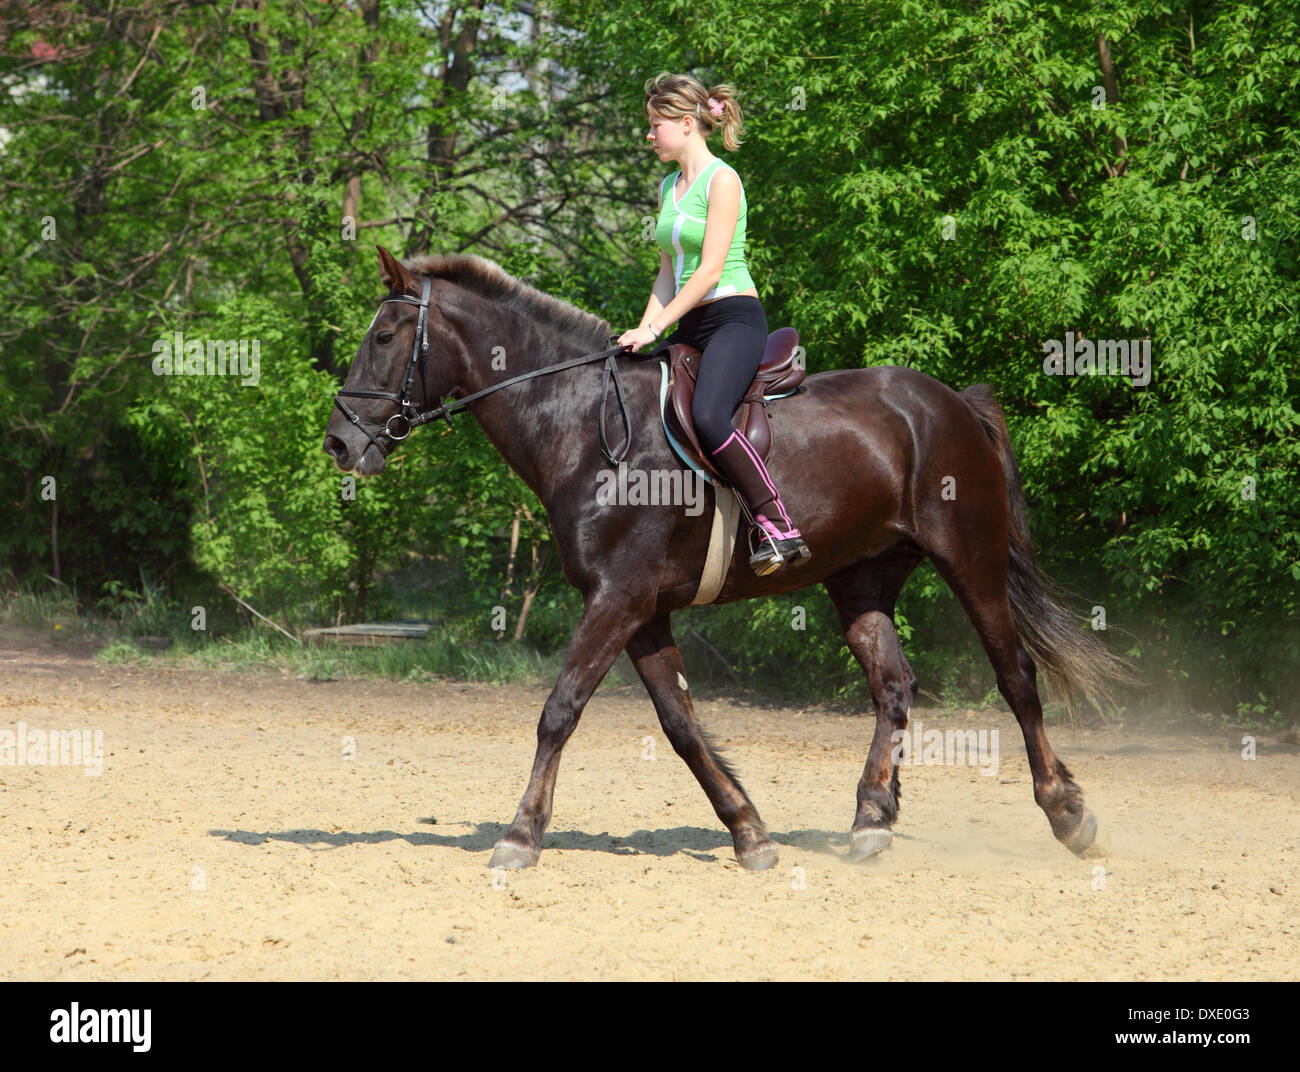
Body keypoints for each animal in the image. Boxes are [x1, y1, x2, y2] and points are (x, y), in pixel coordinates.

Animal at [322, 245, 1131, 871]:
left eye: (386, 335)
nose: (339, 442)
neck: (583, 425)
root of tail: (952, 401)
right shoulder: (640, 610)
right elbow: (680, 725)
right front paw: (749, 831)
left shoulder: (617, 599)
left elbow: (560, 710)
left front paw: (520, 836)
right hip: (861, 578)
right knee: (893, 686)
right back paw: (871, 821)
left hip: (971, 558)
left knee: (1015, 676)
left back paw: (1068, 815)